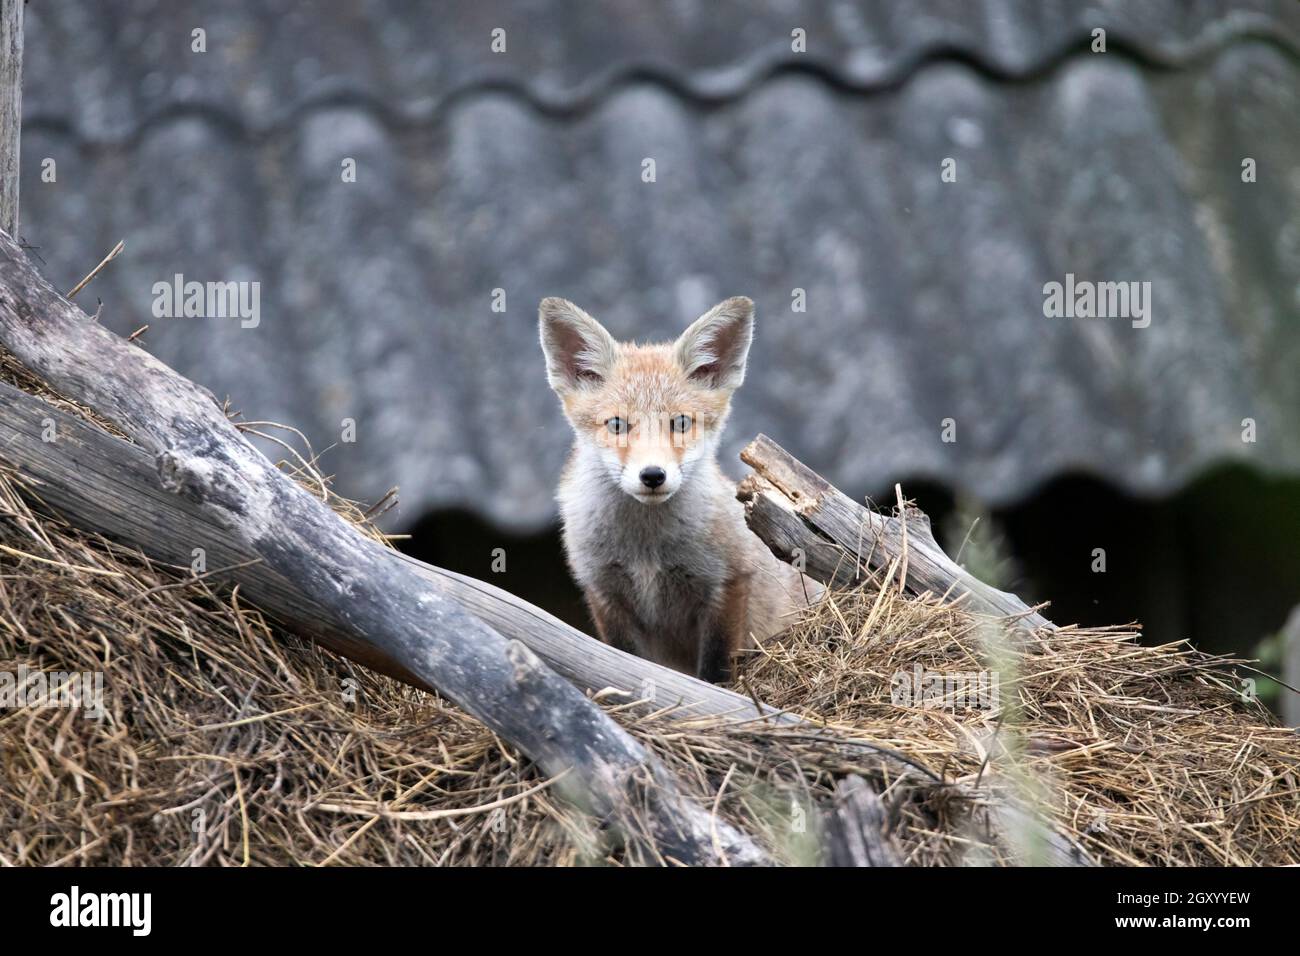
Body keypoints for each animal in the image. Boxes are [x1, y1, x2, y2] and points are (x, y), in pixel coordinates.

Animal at [538, 295, 817, 683]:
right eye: (618, 424)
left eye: (681, 423)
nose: (653, 475)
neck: (646, 549)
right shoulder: (603, 592)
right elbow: (624, 660)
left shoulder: (727, 581)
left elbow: (716, 669)